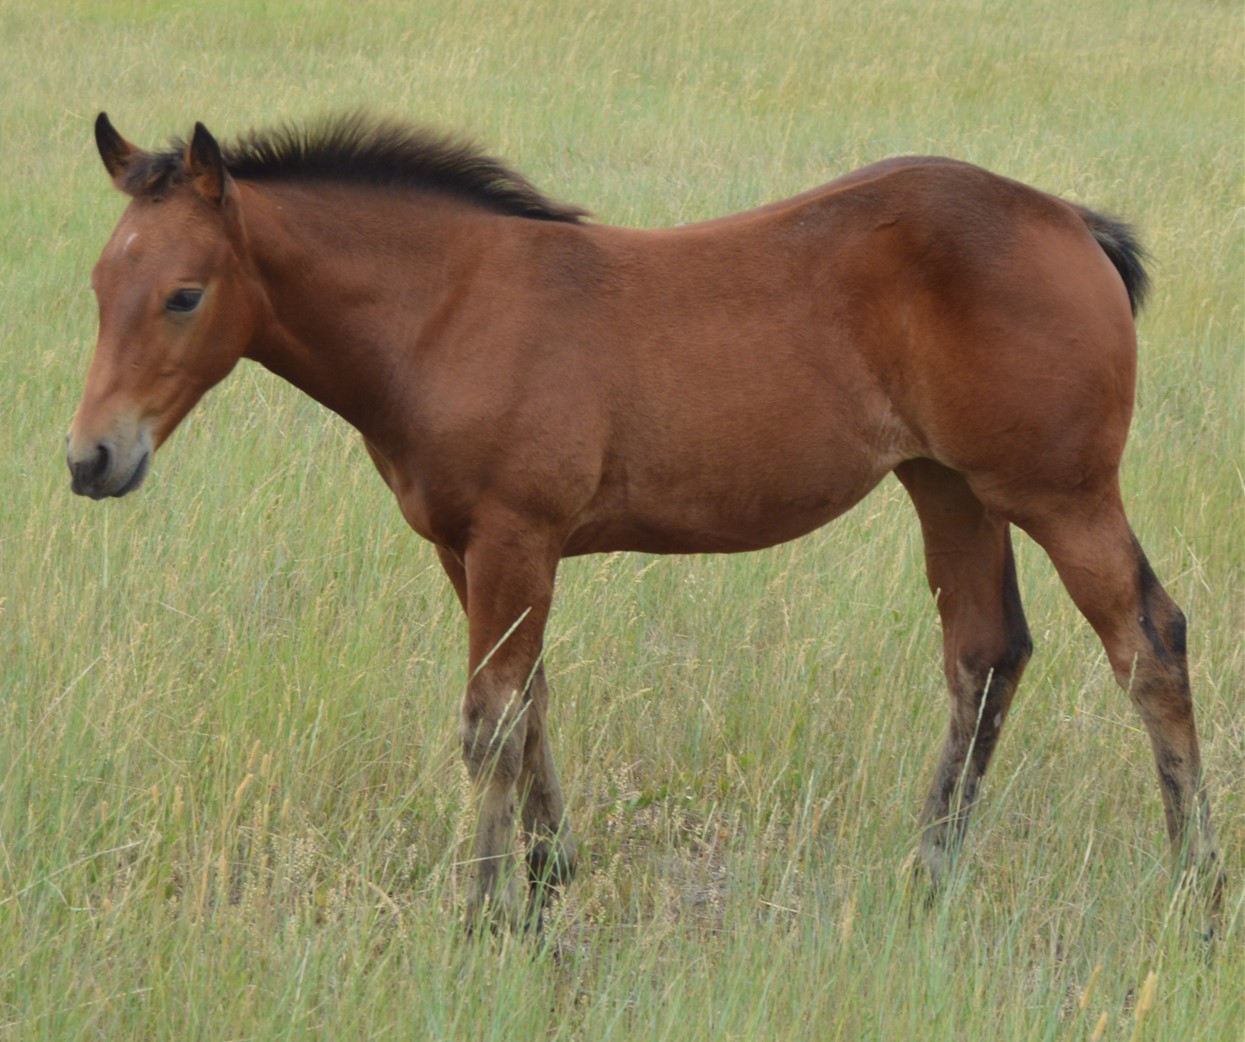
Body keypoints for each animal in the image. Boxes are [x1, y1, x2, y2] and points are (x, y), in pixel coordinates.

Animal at [67, 112, 1223, 933]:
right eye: (97, 281)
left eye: (184, 294)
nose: (92, 459)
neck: (445, 310)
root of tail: (1072, 222)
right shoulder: (467, 548)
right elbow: (528, 700)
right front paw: (546, 880)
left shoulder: (516, 537)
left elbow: (489, 719)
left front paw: (482, 914)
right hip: (946, 485)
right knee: (984, 654)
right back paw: (927, 876)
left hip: (1058, 491)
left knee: (1149, 643)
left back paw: (1197, 886)